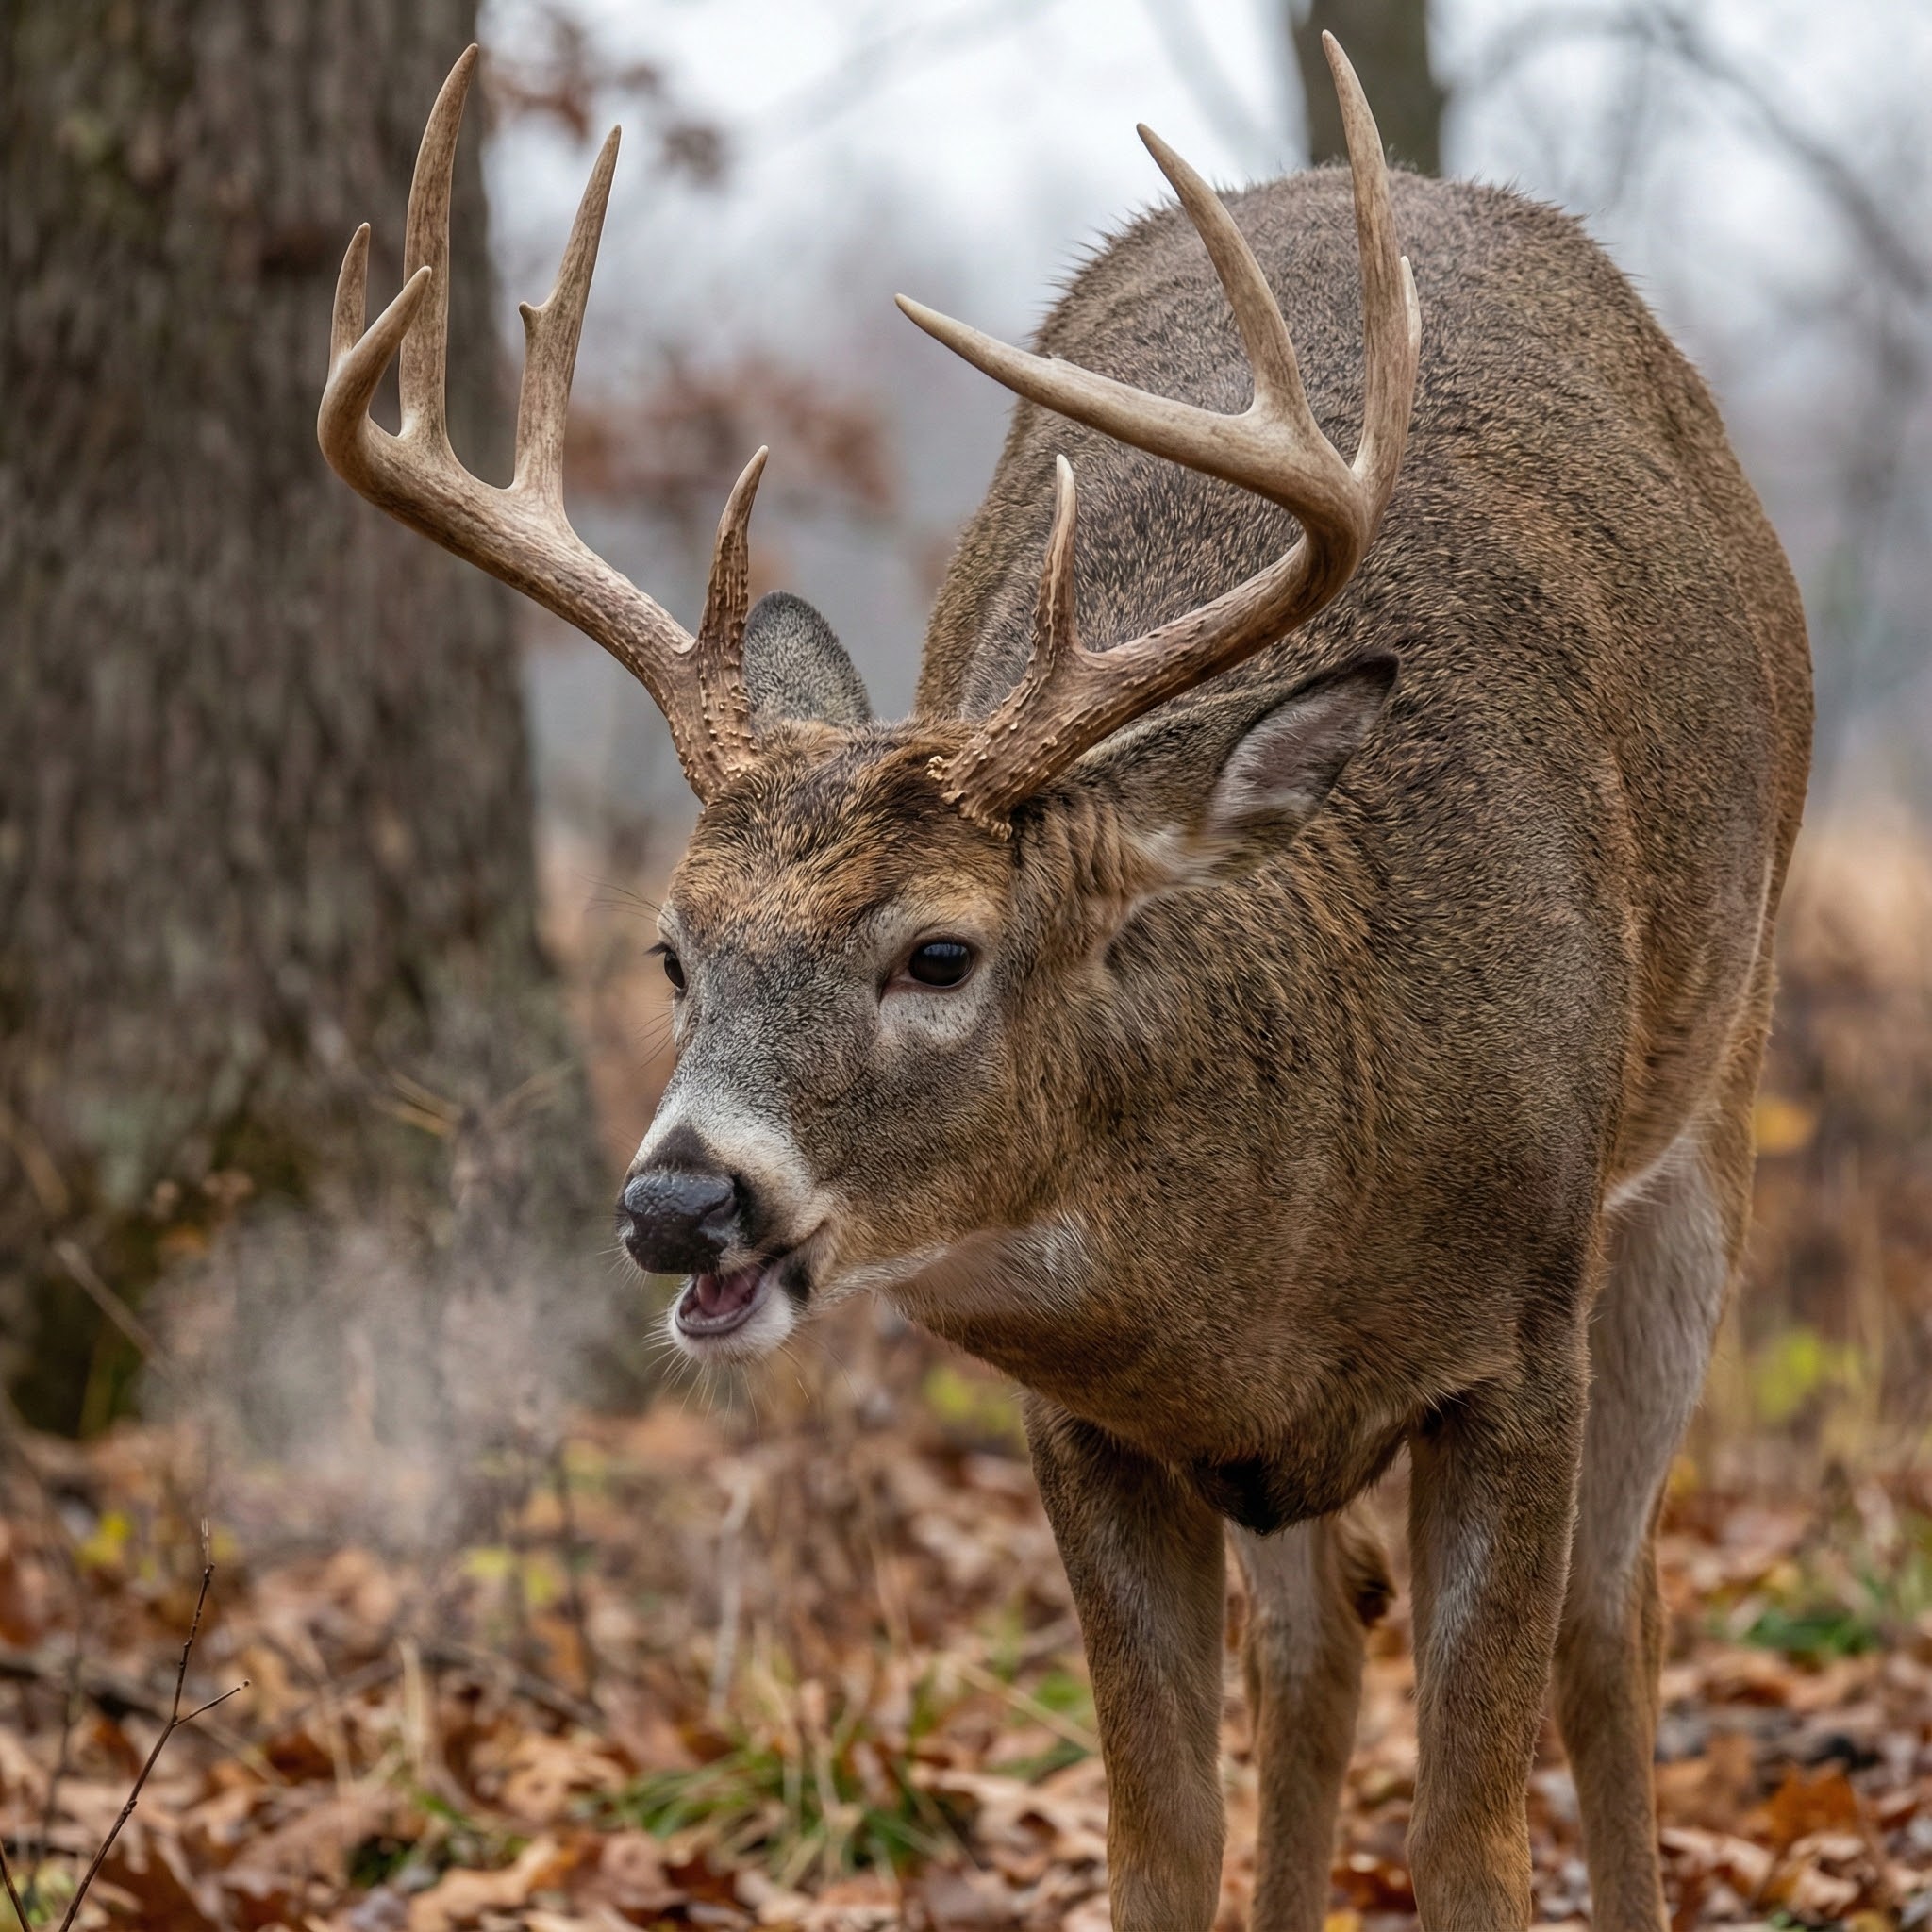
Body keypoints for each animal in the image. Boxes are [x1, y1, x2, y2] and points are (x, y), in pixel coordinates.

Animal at [319, 39, 1811, 1932]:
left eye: (939, 950)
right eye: (673, 951)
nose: (677, 1202)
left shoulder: (1516, 1348)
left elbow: (1474, 1841)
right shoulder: (1088, 1422)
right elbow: (1157, 1842)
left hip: (1708, 1116)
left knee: (1616, 1627)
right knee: (1317, 1656)